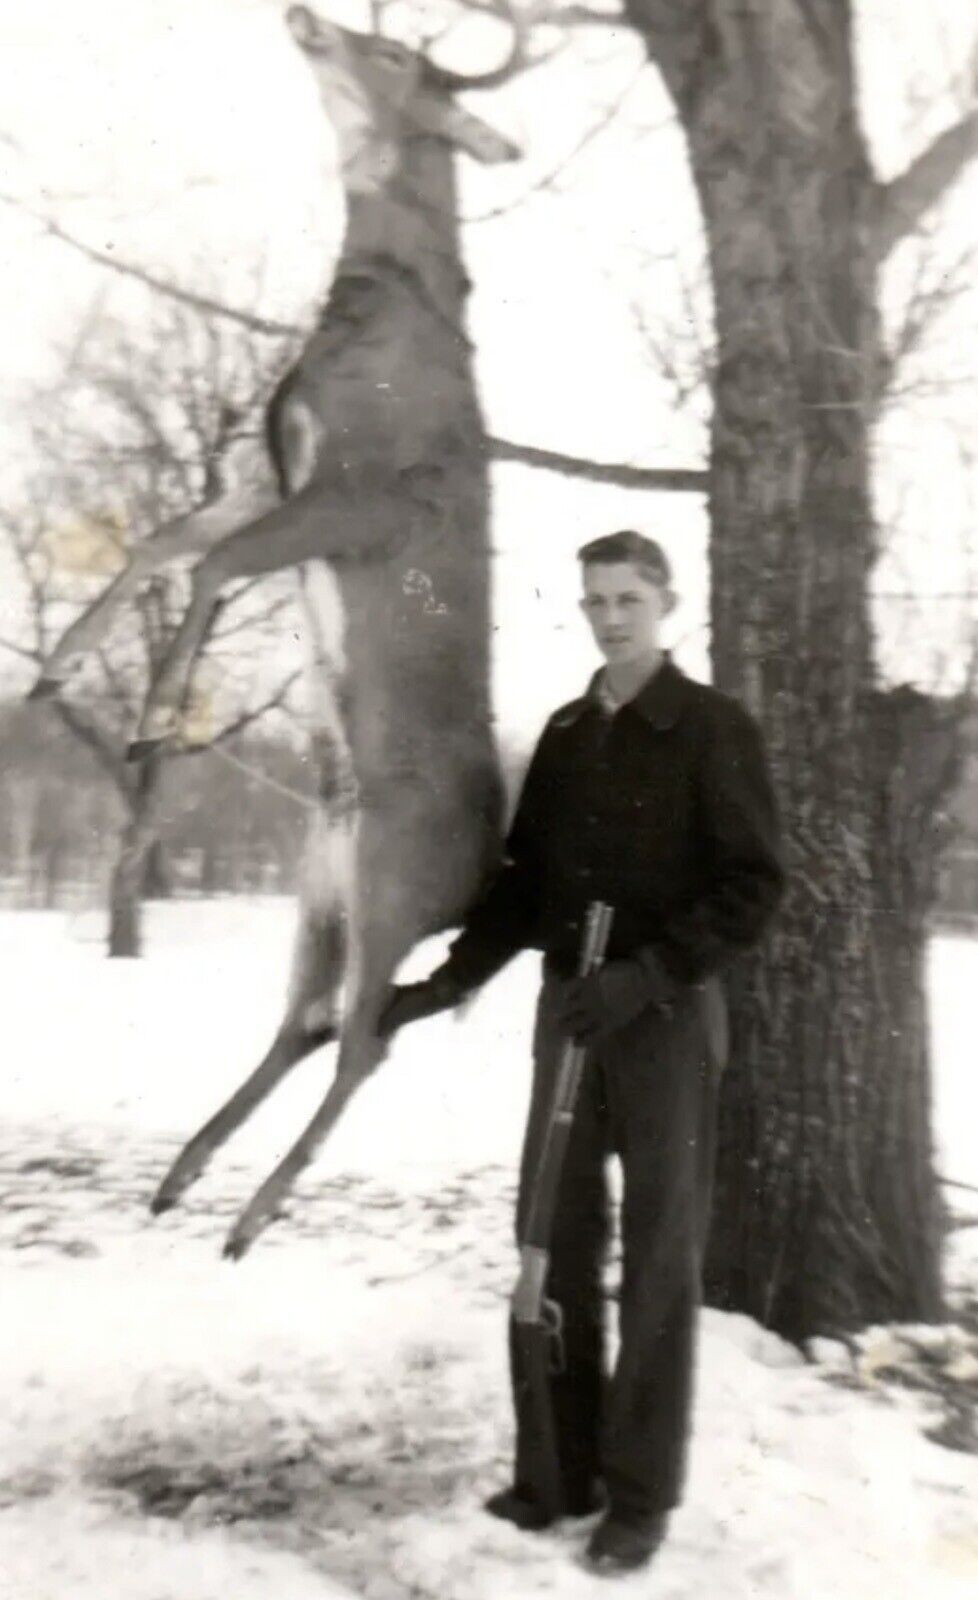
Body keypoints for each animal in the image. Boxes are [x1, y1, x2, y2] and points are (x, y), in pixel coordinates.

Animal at [31, 4, 536, 1258]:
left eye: (397, 59)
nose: (307, 18)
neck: (383, 322)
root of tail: (490, 873)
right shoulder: (276, 475)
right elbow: (162, 542)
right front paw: (59, 673)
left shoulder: (359, 498)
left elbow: (206, 562)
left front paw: (153, 719)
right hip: (323, 891)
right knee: (309, 1024)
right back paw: (183, 1175)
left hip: (397, 883)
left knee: (366, 1040)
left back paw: (249, 1213)